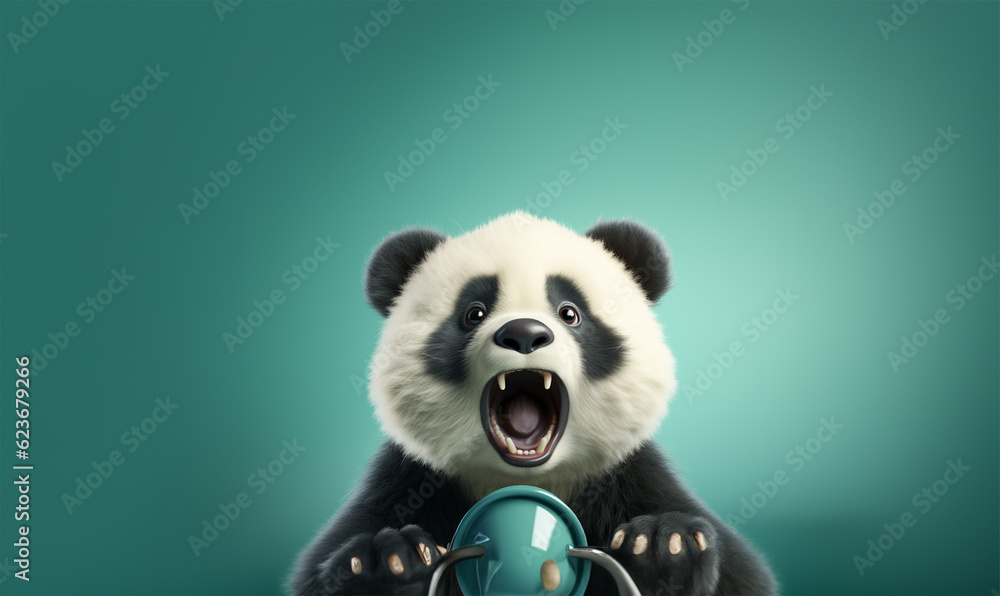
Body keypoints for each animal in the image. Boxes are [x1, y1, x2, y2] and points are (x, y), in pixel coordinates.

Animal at [289, 213, 776, 595]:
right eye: (474, 313)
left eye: (570, 312)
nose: (524, 334)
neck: (526, 479)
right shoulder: (412, 479)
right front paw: (386, 559)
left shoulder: (627, 474)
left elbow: (741, 576)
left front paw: (664, 544)